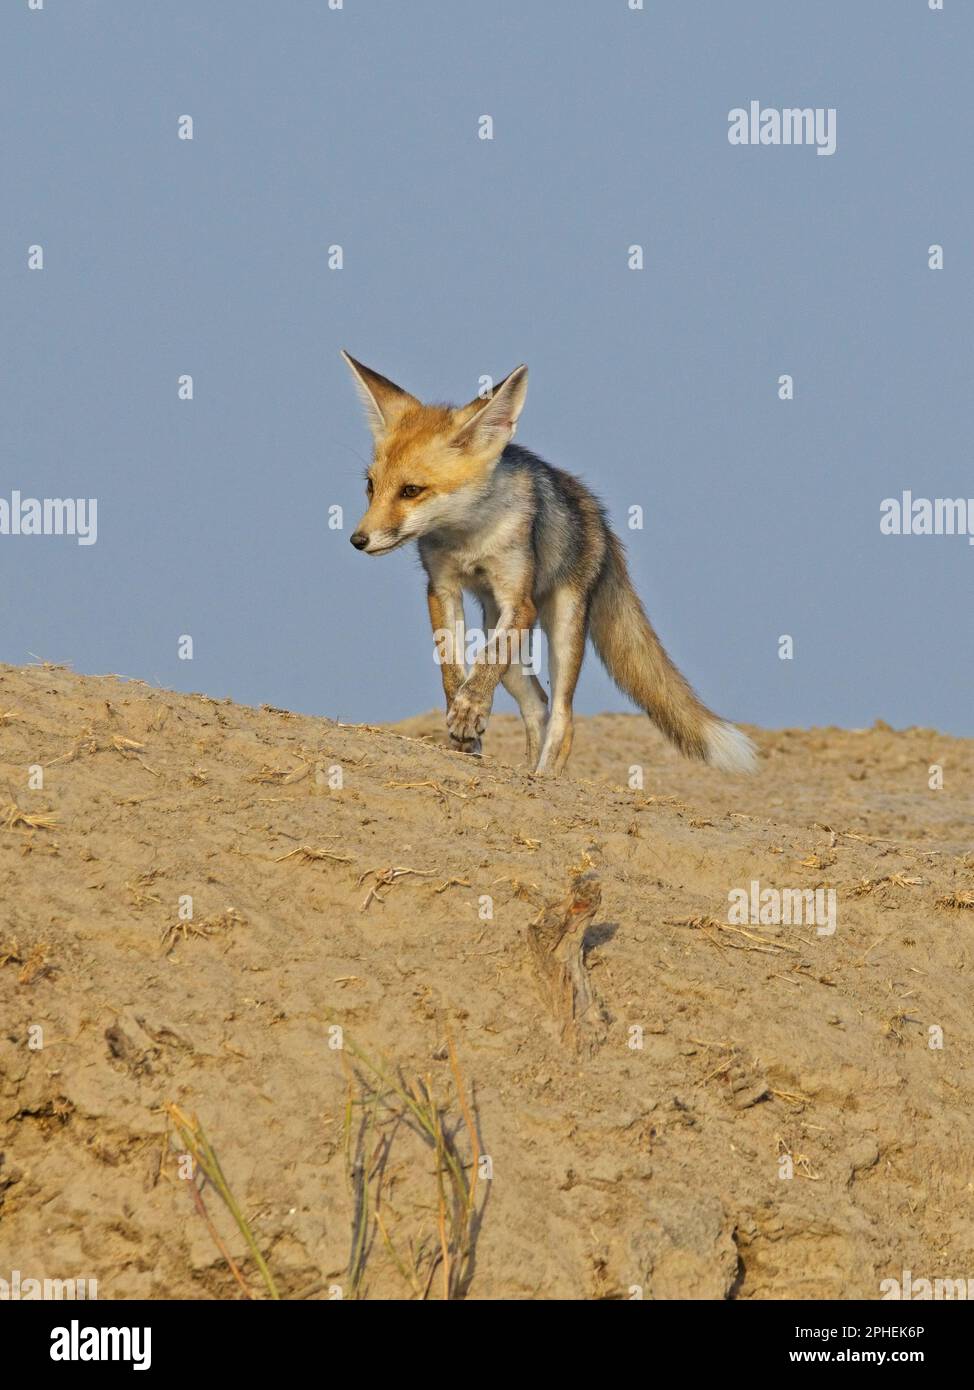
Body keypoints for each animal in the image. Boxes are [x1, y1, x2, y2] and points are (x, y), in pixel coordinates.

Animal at [342, 350, 757, 777]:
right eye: (371, 486)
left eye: (411, 490)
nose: (358, 540)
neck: (468, 539)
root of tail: (598, 516)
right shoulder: (441, 588)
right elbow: (454, 667)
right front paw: (463, 723)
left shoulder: (519, 601)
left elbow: (485, 663)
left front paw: (469, 710)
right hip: (503, 641)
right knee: (537, 703)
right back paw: (527, 769)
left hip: (563, 627)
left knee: (562, 715)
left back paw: (545, 777)